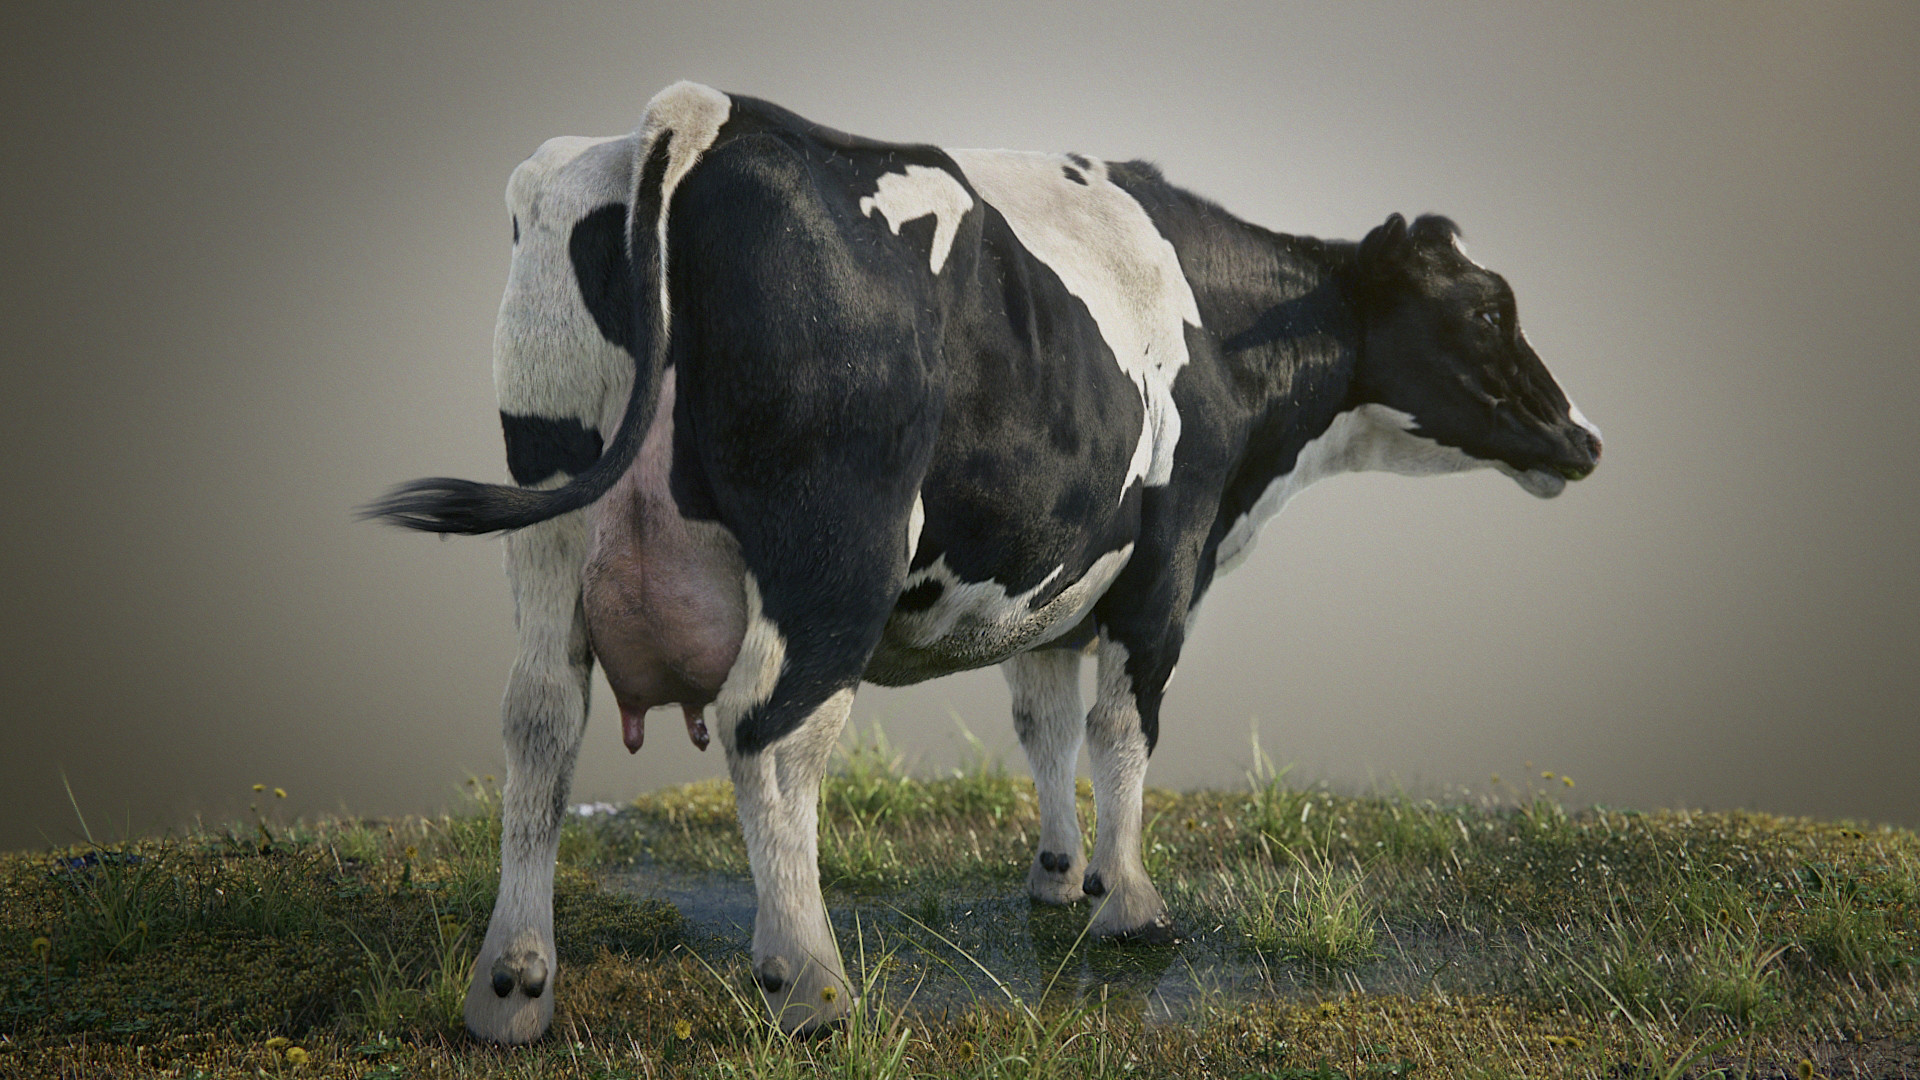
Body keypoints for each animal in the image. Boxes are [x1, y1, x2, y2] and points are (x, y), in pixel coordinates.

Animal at [367, 81, 1601, 1042]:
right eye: (1486, 310)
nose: (1583, 437)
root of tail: (705, 114)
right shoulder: (1167, 563)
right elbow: (1123, 729)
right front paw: (1131, 904)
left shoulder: (1048, 575)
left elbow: (1042, 720)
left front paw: (1058, 876)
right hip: (835, 541)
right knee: (773, 730)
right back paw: (810, 983)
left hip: (549, 527)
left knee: (541, 721)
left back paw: (512, 986)